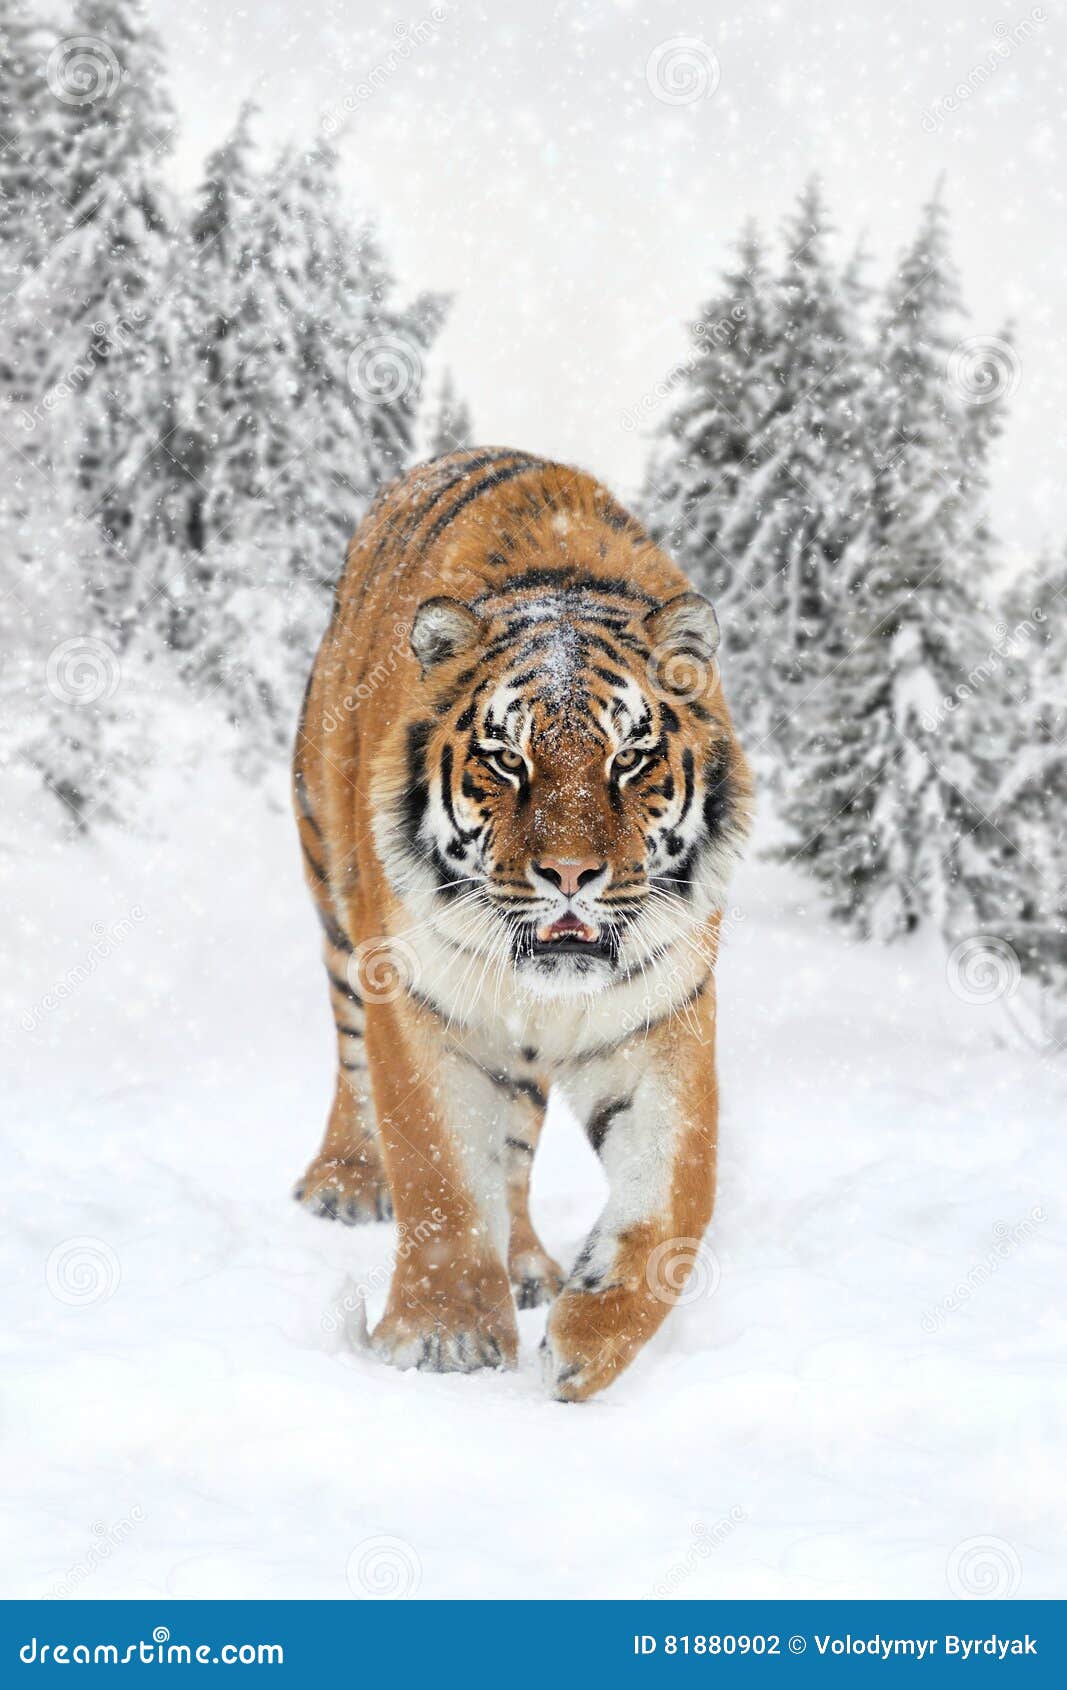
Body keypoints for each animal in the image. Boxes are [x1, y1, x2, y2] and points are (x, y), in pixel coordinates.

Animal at [292, 447, 752, 1401]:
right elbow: (438, 1171)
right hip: (334, 895)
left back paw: (532, 1269)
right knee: (352, 1064)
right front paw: (442, 1338)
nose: (570, 874)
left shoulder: (662, 1018)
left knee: (511, 1149)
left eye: (630, 758)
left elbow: (673, 1198)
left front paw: (587, 1342)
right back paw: (345, 1183)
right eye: (507, 759)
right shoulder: (419, 1002)